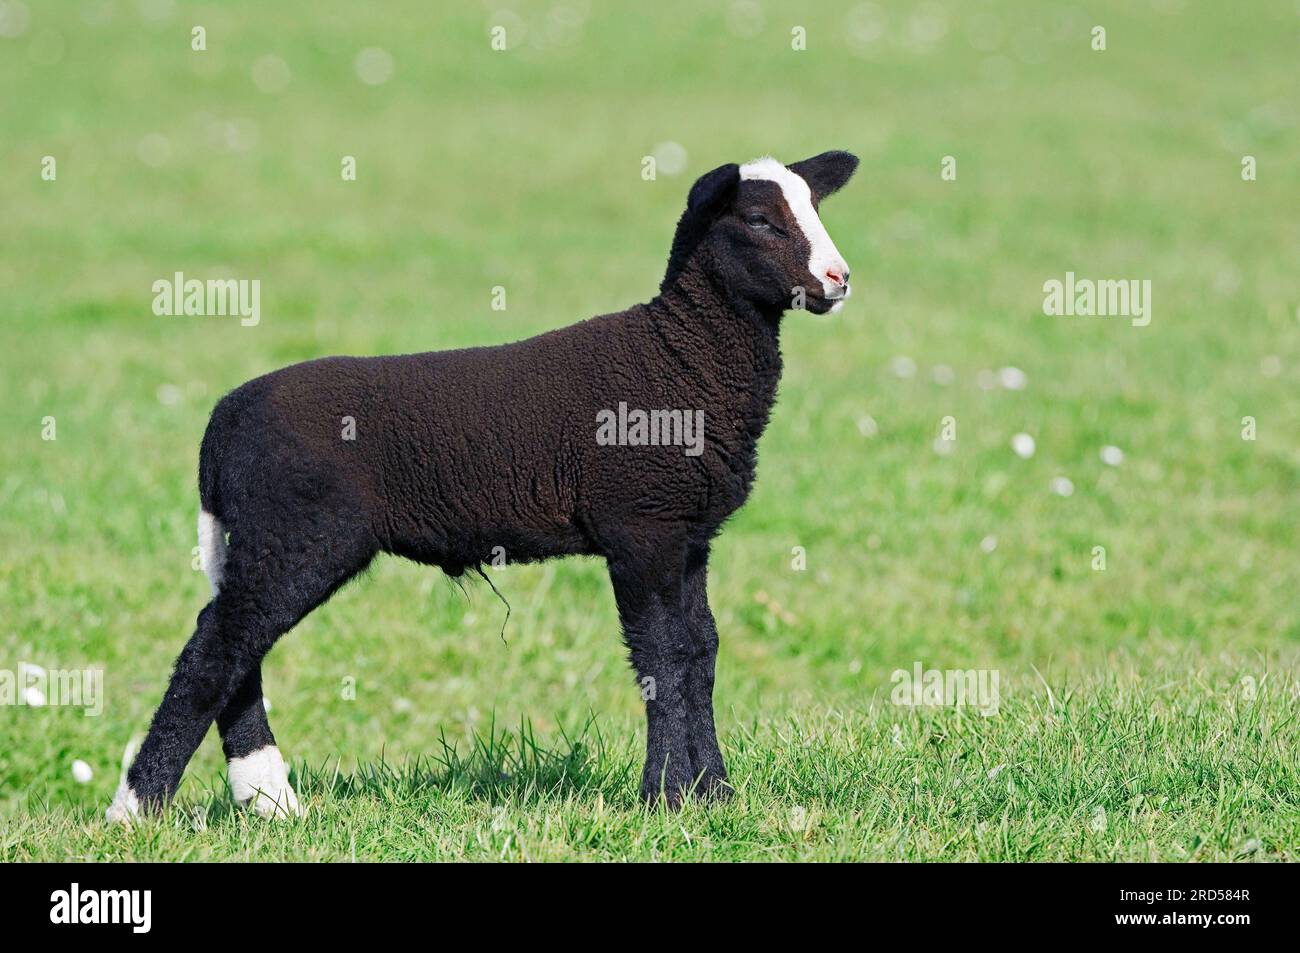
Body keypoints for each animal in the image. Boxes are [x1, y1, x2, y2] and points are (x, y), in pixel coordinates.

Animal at [106, 149, 858, 822]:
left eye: (816, 208)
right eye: (758, 219)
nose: (840, 278)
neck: (679, 358)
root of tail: (222, 420)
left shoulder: (687, 535)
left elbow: (700, 653)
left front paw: (715, 796)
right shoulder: (640, 530)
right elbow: (663, 659)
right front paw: (667, 799)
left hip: (271, 539)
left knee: (235, 649)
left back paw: (269, 803)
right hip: (294, 535)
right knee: (214, 651)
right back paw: (138, 809)